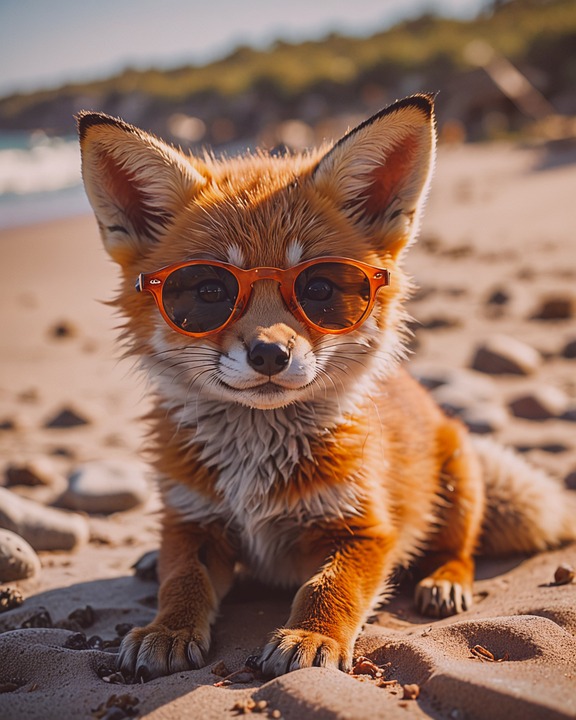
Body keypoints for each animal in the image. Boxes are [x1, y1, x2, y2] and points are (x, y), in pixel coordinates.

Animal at [78, 95, 576, 681]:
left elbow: (329, 586)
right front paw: (169, 628)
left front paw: (312, 635)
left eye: (317, 289)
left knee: (462, 546)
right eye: (208, 292)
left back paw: (445, 579)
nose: (270, 354)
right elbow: (184, 580)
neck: (257, 467)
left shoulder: (366, 529)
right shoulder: (192, 521)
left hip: (458, 478)